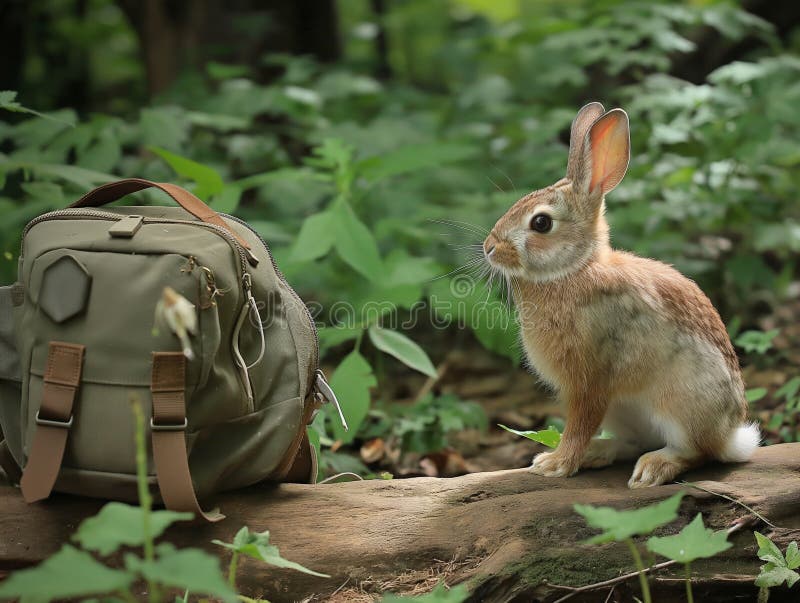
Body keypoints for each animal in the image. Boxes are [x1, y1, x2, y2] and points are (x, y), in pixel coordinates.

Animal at [483, 102, 759, 488]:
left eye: (541, 223)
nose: (489, 248)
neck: (574, 269)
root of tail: (732, 437)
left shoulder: (590, 381)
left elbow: (578, 425)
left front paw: (555, 465)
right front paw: (553, 461)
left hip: (679, 403)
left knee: (696, 451)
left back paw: (653, 468)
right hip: (624, 412)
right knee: (632, 443)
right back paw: (600, 453)